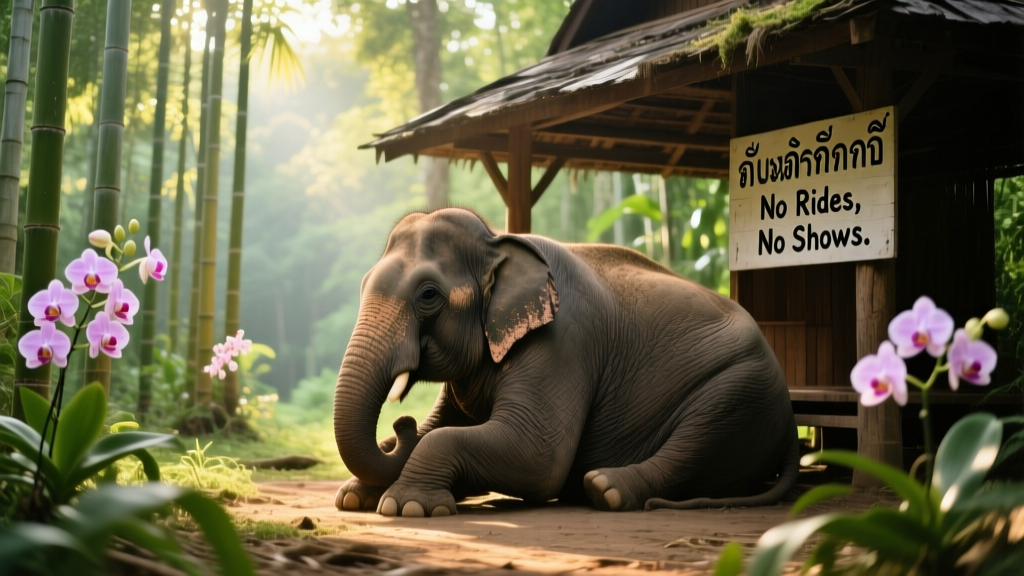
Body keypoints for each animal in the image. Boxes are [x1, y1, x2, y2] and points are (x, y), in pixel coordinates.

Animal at [333, 208, 799, 517]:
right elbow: (443, 428)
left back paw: (603, 488)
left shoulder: (562, 343)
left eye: (428, 294)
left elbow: (537, 457)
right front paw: (353, 497)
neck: (498, 239)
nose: (401, 424)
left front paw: (405, 504)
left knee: (694, 446)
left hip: (738, 392)